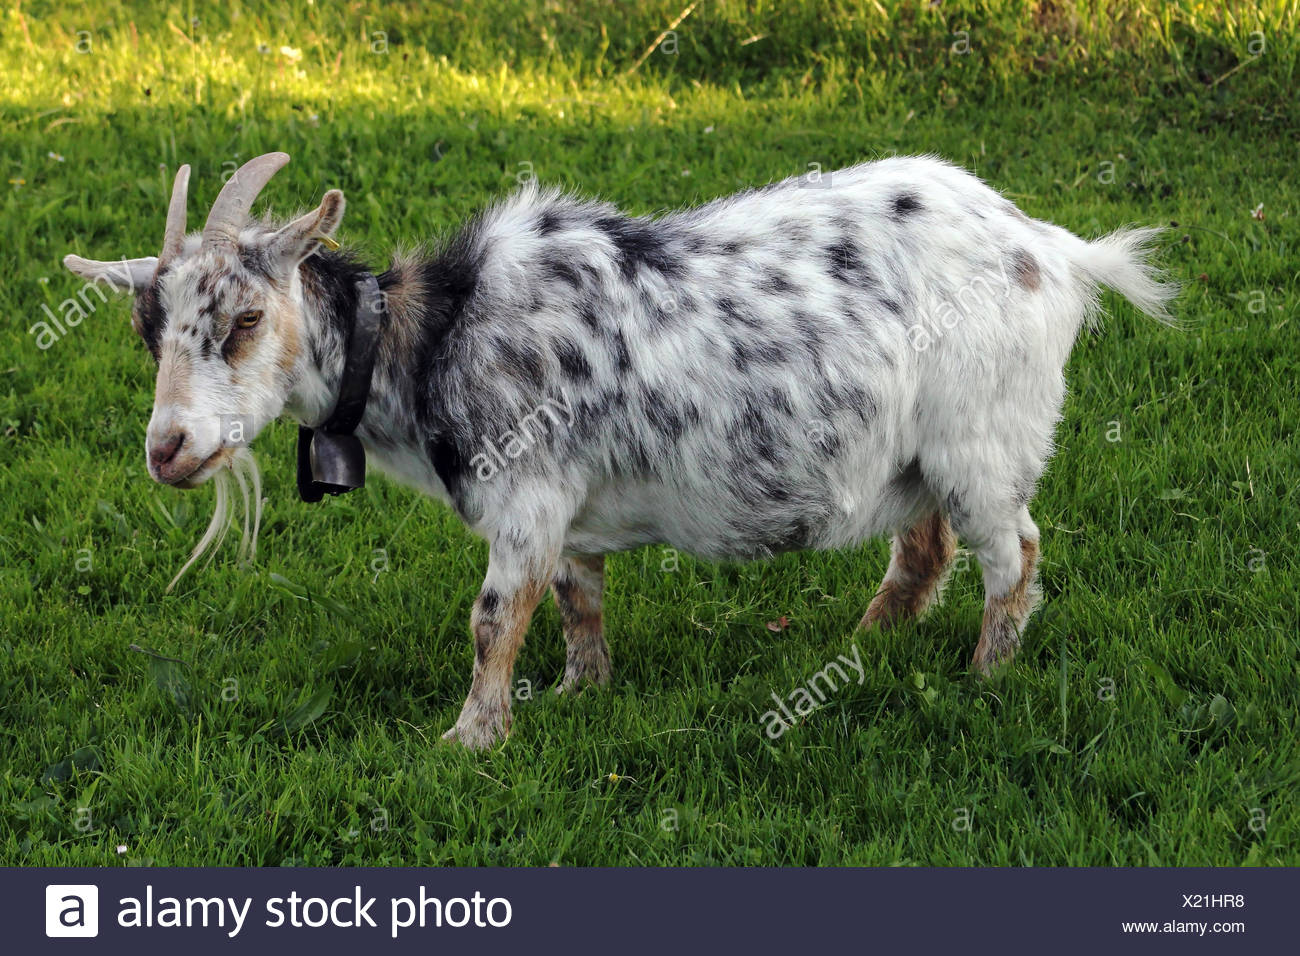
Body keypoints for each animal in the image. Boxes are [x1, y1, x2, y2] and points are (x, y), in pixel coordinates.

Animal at [64, 152, 1176, 749]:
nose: (169, 449)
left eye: (247, 318)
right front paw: (578, 692)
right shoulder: (571, 509)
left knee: (1013, 553)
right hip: (922, 454)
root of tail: (1055, 251)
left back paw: (986, 676)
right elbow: (575, 596)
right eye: (148, 332)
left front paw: (469, 738)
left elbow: (493, 617)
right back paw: (865, 645)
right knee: (925, 548)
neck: (437, 336)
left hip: (985, 443)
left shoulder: (524, 498)